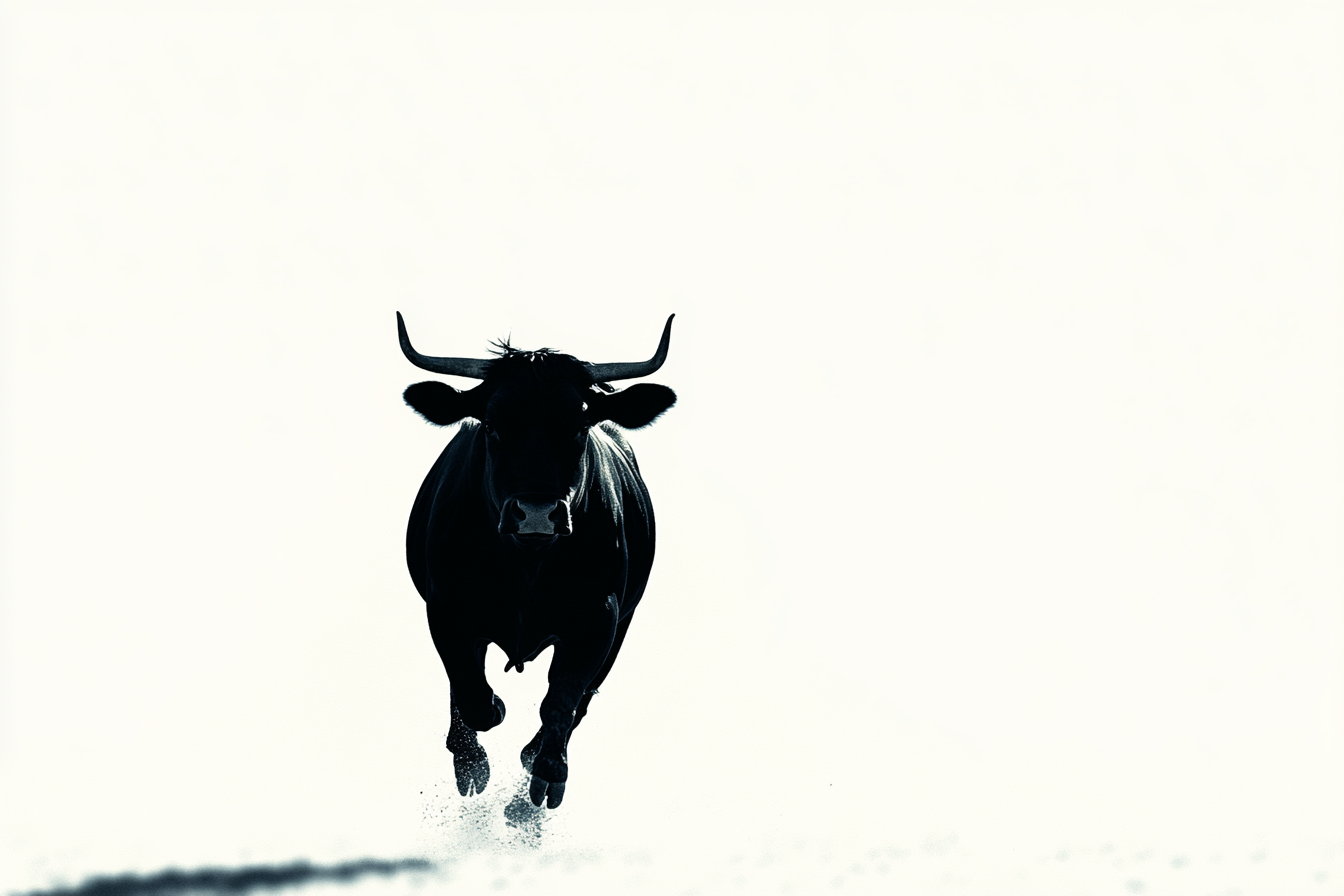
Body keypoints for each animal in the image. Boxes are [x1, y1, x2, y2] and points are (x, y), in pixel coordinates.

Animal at [397, 313, 676, 809]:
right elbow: (471, 693)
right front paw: (475, 754)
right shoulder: (446, 607)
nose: (537, 513)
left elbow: (564, 697)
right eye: (492, 425)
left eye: (579, 426)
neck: (527, 565)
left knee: (581, 697)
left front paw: (547, 772)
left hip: (623, 620)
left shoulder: (600, 616)